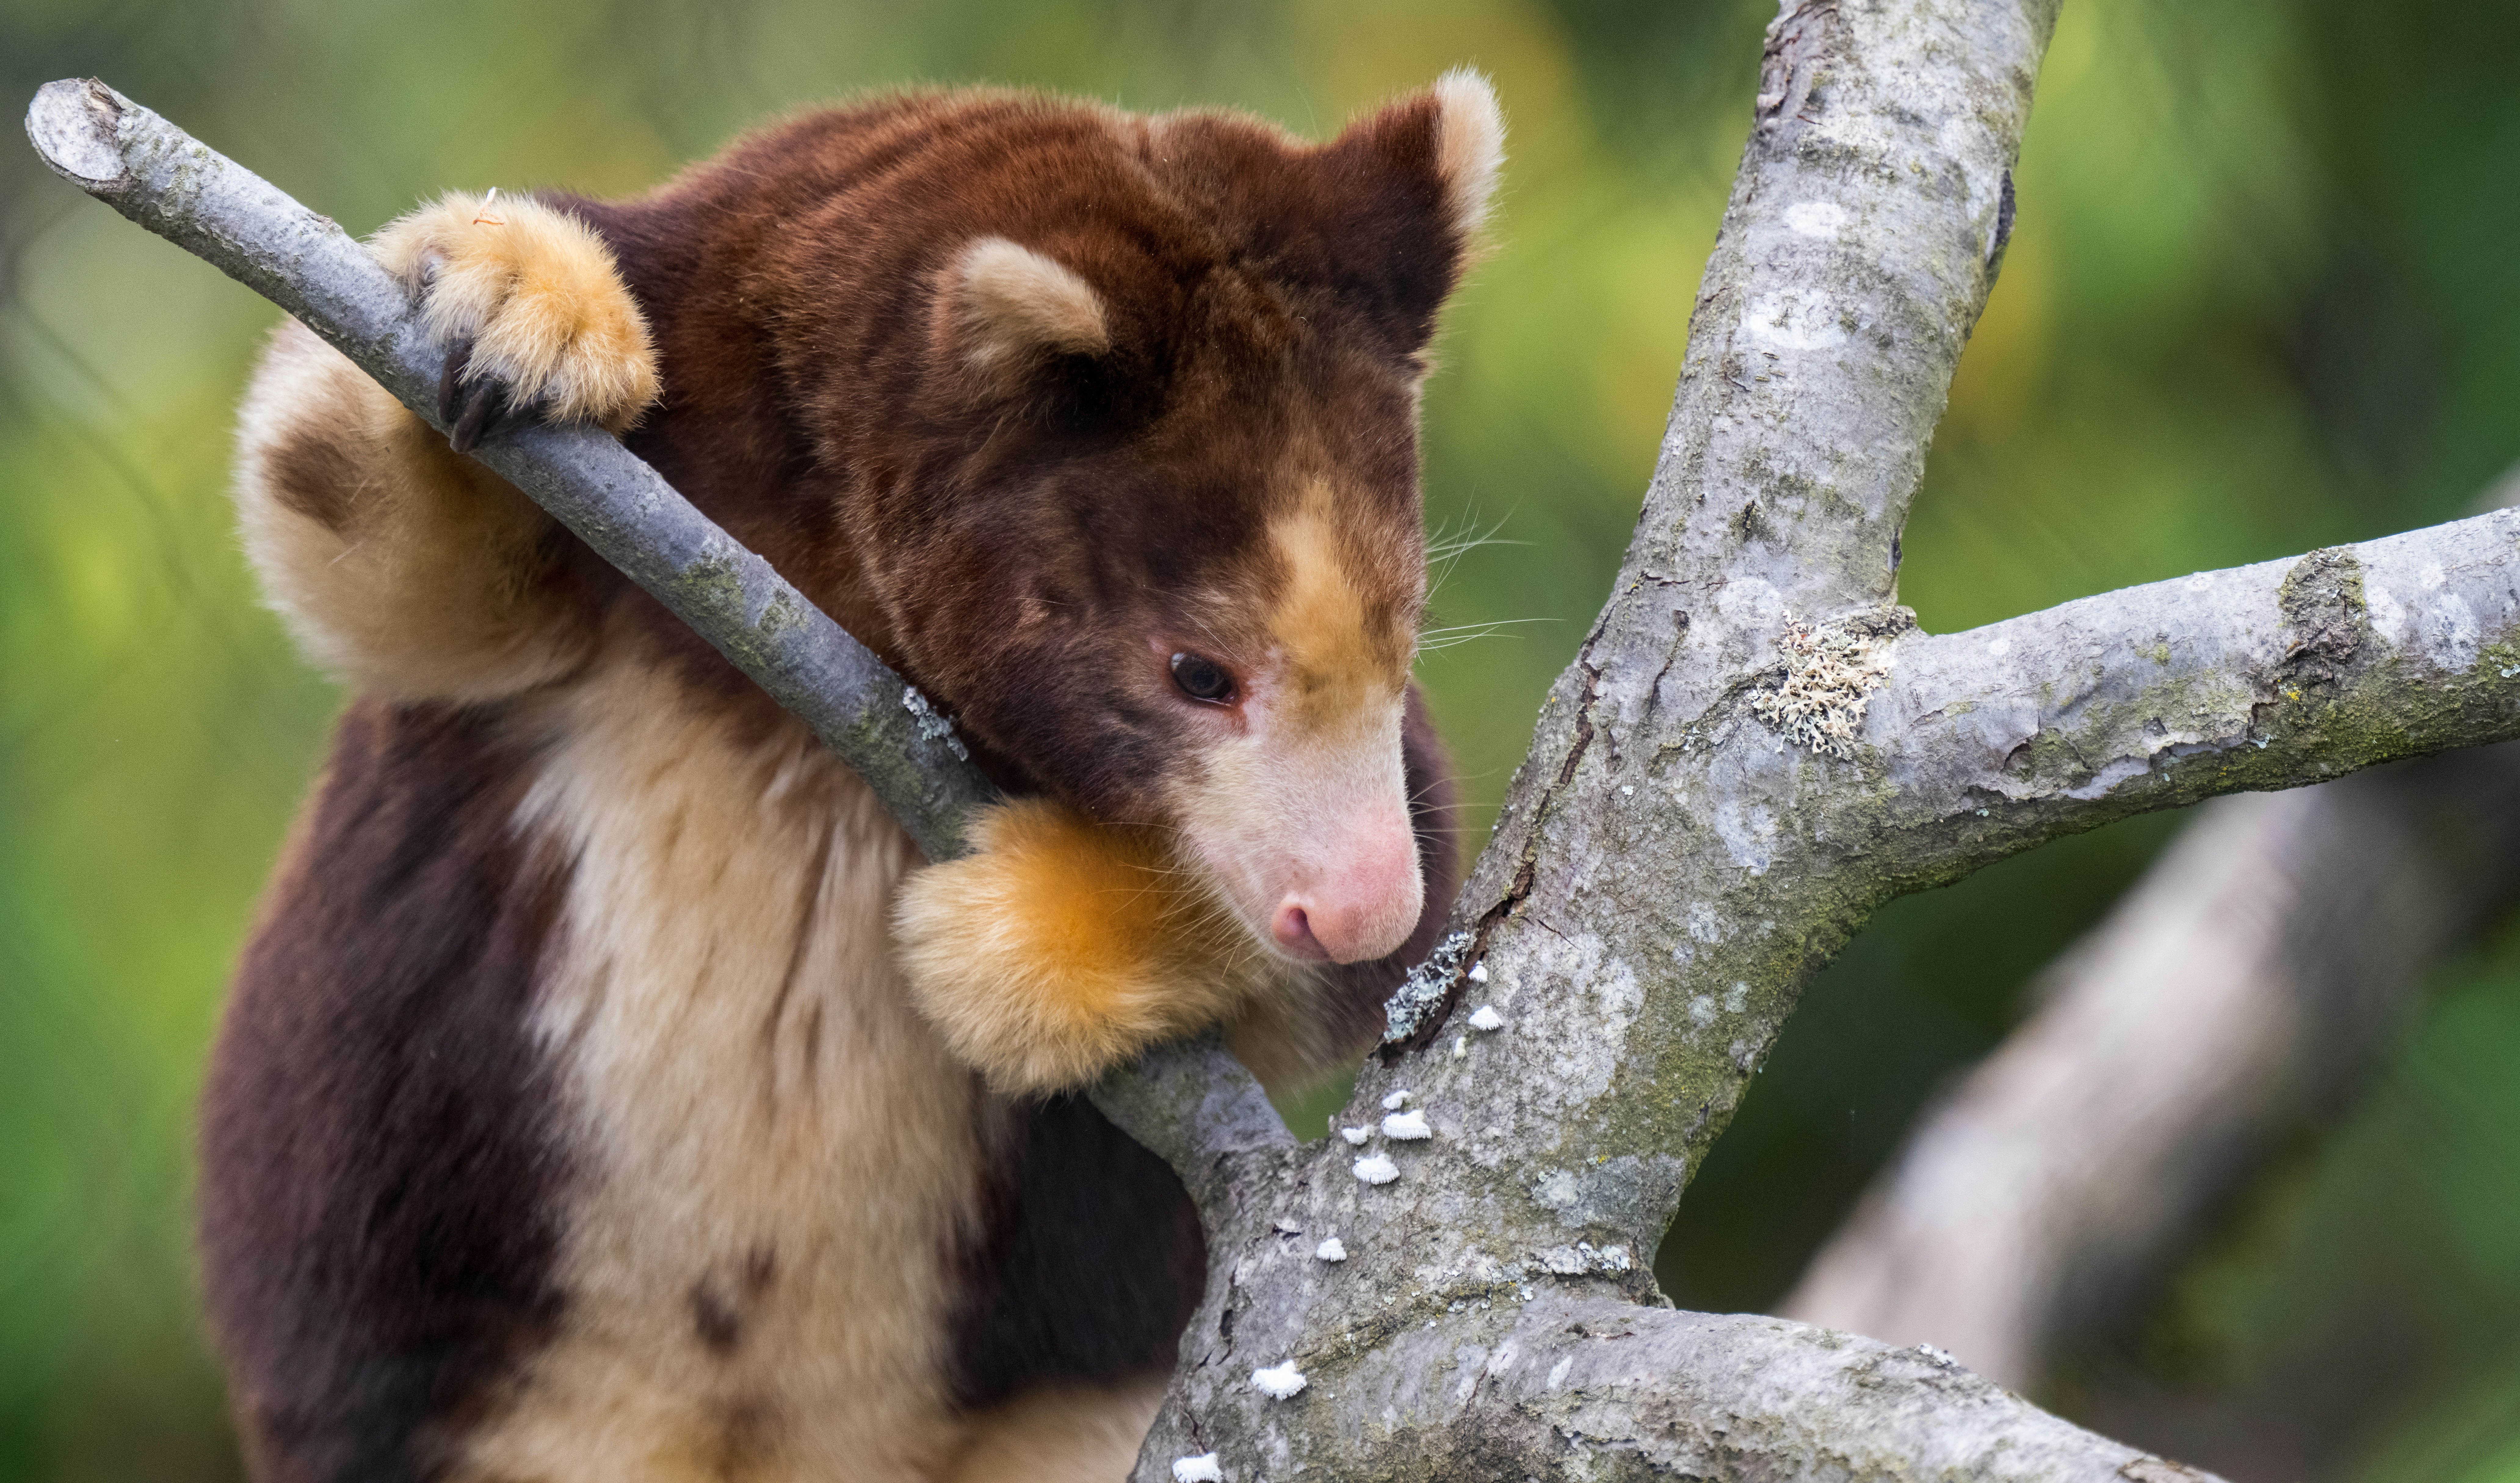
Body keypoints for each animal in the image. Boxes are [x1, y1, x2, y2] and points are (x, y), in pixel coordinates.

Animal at [199, 71, 1500, 1483]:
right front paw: (509, 305)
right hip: (471, 1378)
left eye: (1405, 625)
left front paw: (1015, 935)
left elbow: (1383, 949)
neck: (836, 575)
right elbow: (361, 550)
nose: (1358, 903)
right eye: (1198, 671)